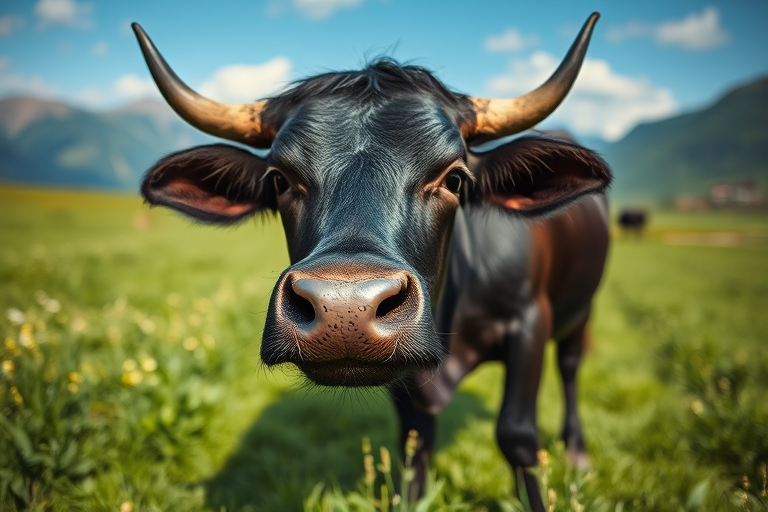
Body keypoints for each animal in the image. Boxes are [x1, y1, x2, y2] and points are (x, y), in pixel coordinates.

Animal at [132, 12, 610, 511]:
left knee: (571, 367)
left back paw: (577, 451)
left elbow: (516, 436)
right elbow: (416, 441)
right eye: (280, 179)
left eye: (455, 178)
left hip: (581, 310)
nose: (345, 310)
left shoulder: (530, 321)